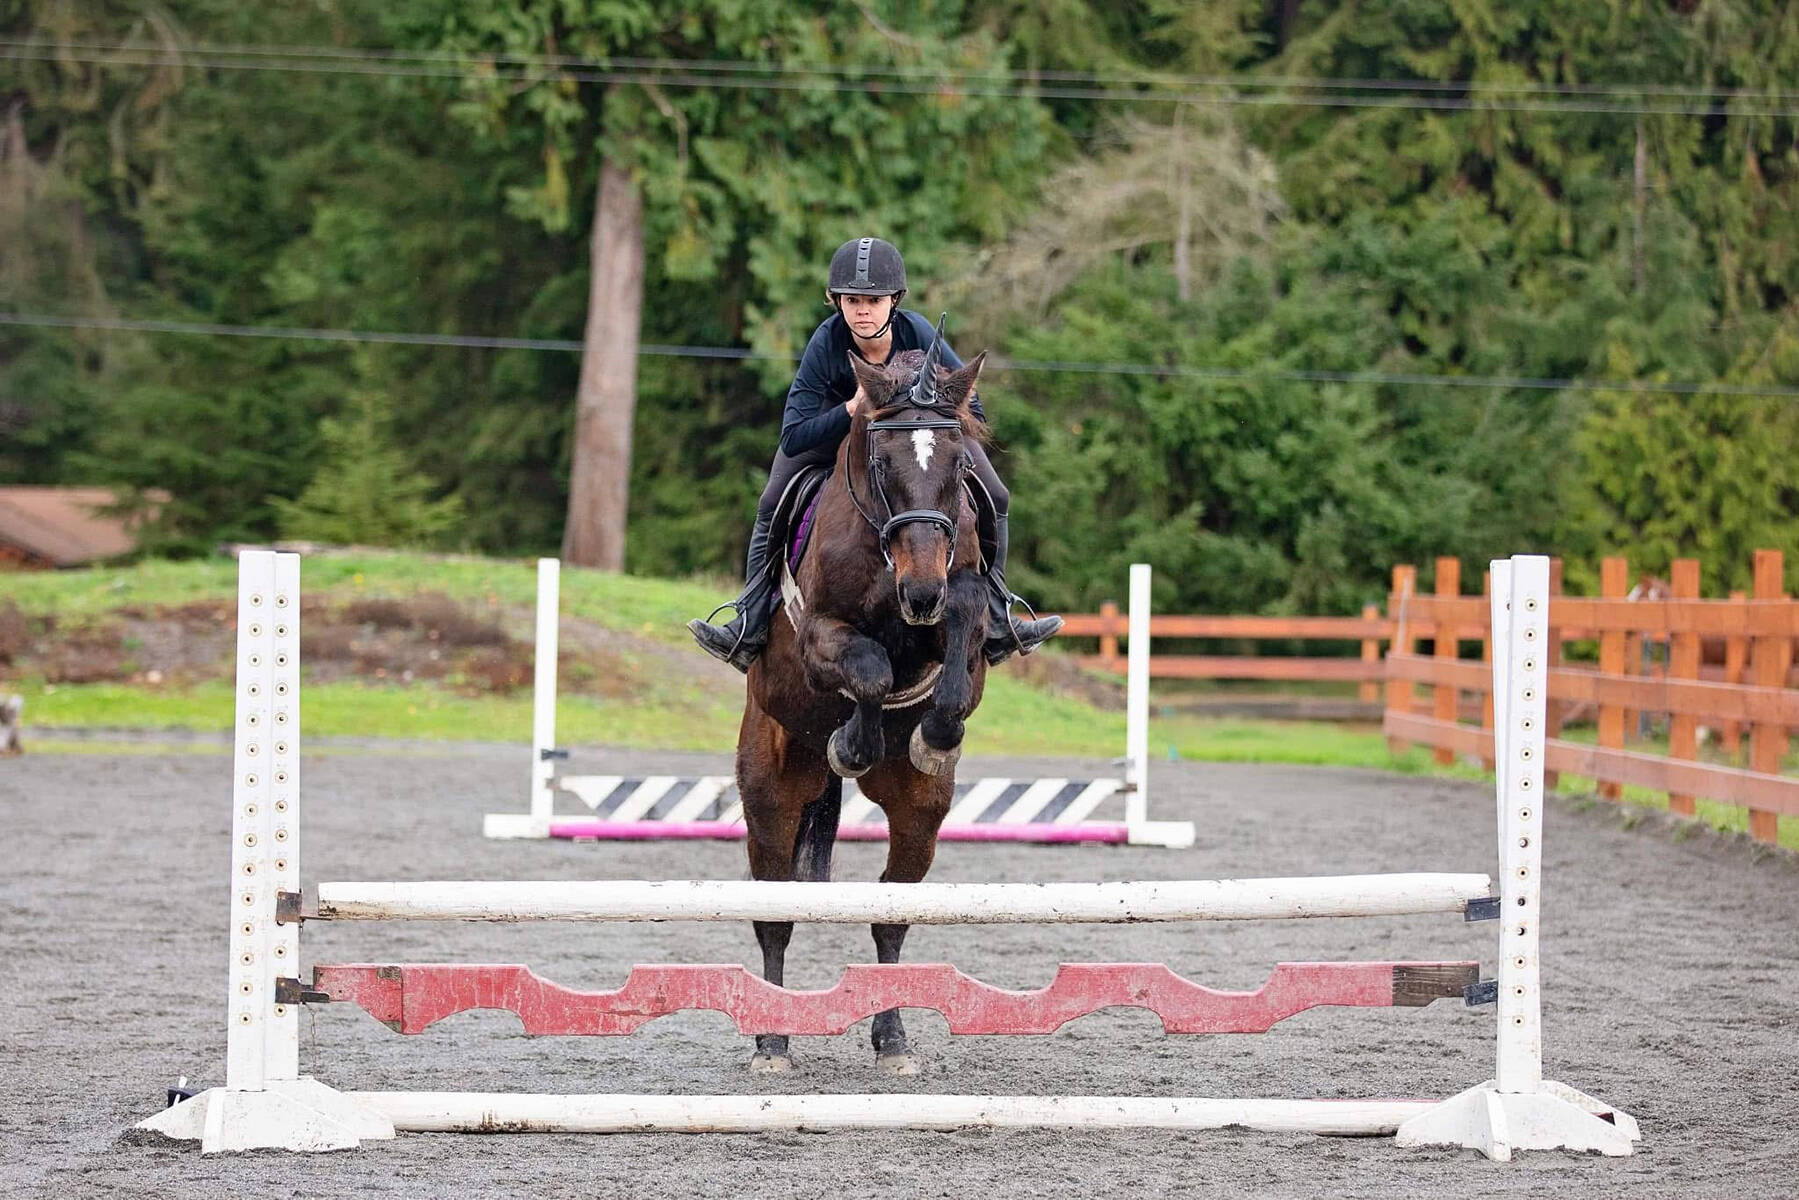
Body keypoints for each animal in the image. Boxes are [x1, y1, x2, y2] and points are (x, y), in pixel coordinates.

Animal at [736, 331, 990, 1074]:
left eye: (959, 463)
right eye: (881, 463)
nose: (920, 591)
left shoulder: (960, 609)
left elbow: (964, 620)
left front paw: (936, 733)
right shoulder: (820, 638)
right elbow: (870, 669)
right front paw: (851, 745)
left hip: (919, 815)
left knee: (889, 916)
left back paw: (892, 1037)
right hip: (770, 793)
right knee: (775, 916)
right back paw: (772, 1039)